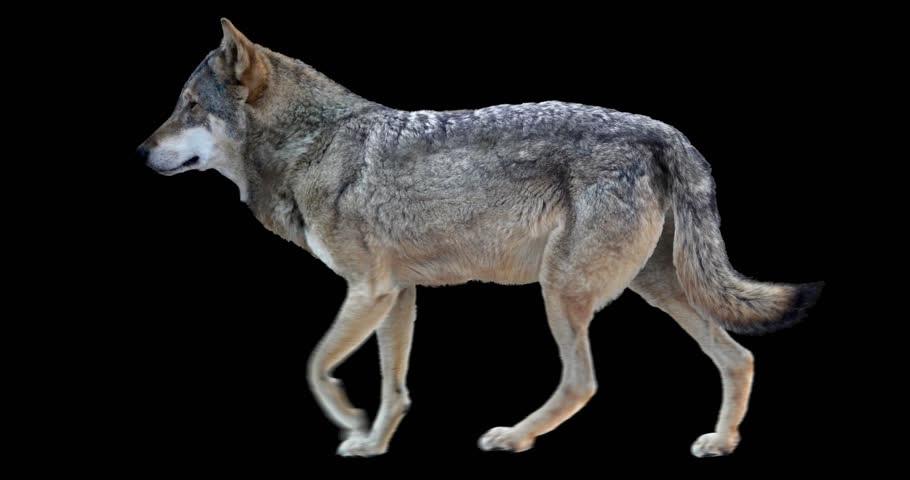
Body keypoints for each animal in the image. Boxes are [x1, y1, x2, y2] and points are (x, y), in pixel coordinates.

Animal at [137, 18, 822, 457]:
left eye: (190, 106)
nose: (140, 152)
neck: (315, 144)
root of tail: (665, 131)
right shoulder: (396, 297)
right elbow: (394, 387)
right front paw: (373, 442)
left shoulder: (368, 291)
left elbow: (316, 367)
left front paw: (350, 420)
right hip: (660, 292)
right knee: (739, 357)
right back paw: (723, 441)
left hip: (561, 291)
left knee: (583, 383)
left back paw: (514, 437)